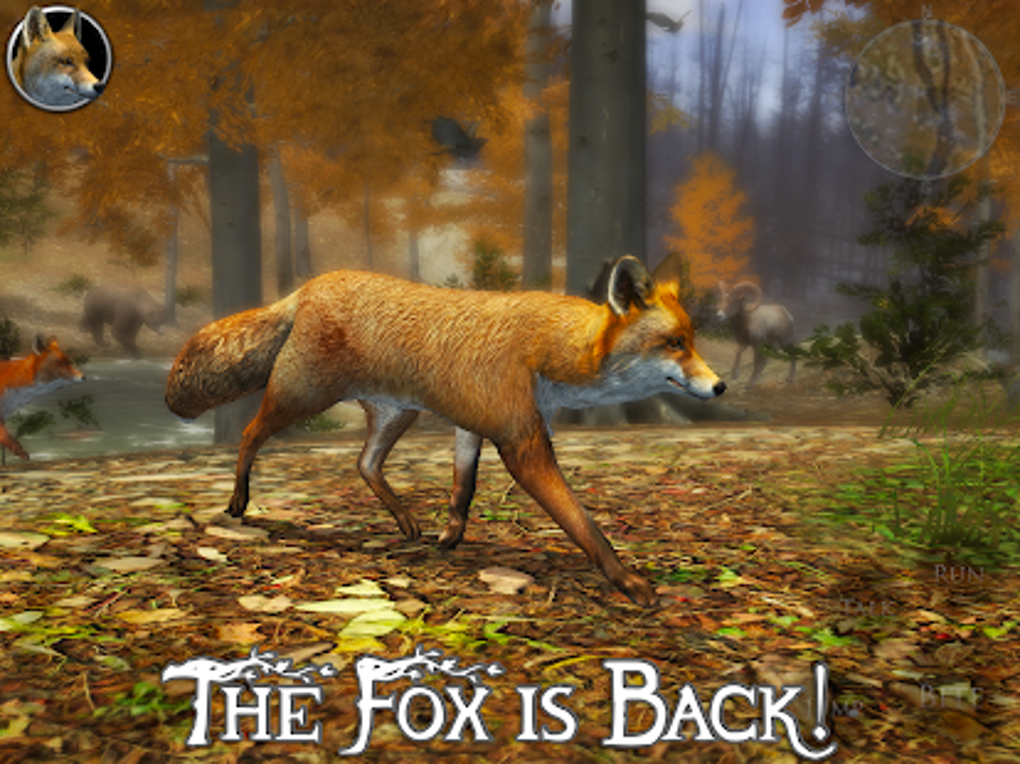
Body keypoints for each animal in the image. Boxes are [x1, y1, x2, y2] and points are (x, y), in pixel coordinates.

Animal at [166, 257, 726, 606]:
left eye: (693, 340)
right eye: (675, 343)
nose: (720, 386)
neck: (550, 350)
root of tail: (309, 287)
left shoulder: (471, 425)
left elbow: (463, 488)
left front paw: (450, 536)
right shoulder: (521, 442)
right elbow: (583, 524)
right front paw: (628, 580)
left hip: (397, 414)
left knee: (364, 463)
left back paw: (405, 522)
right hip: (301, 397)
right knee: (249, 433)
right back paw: (238, 501)